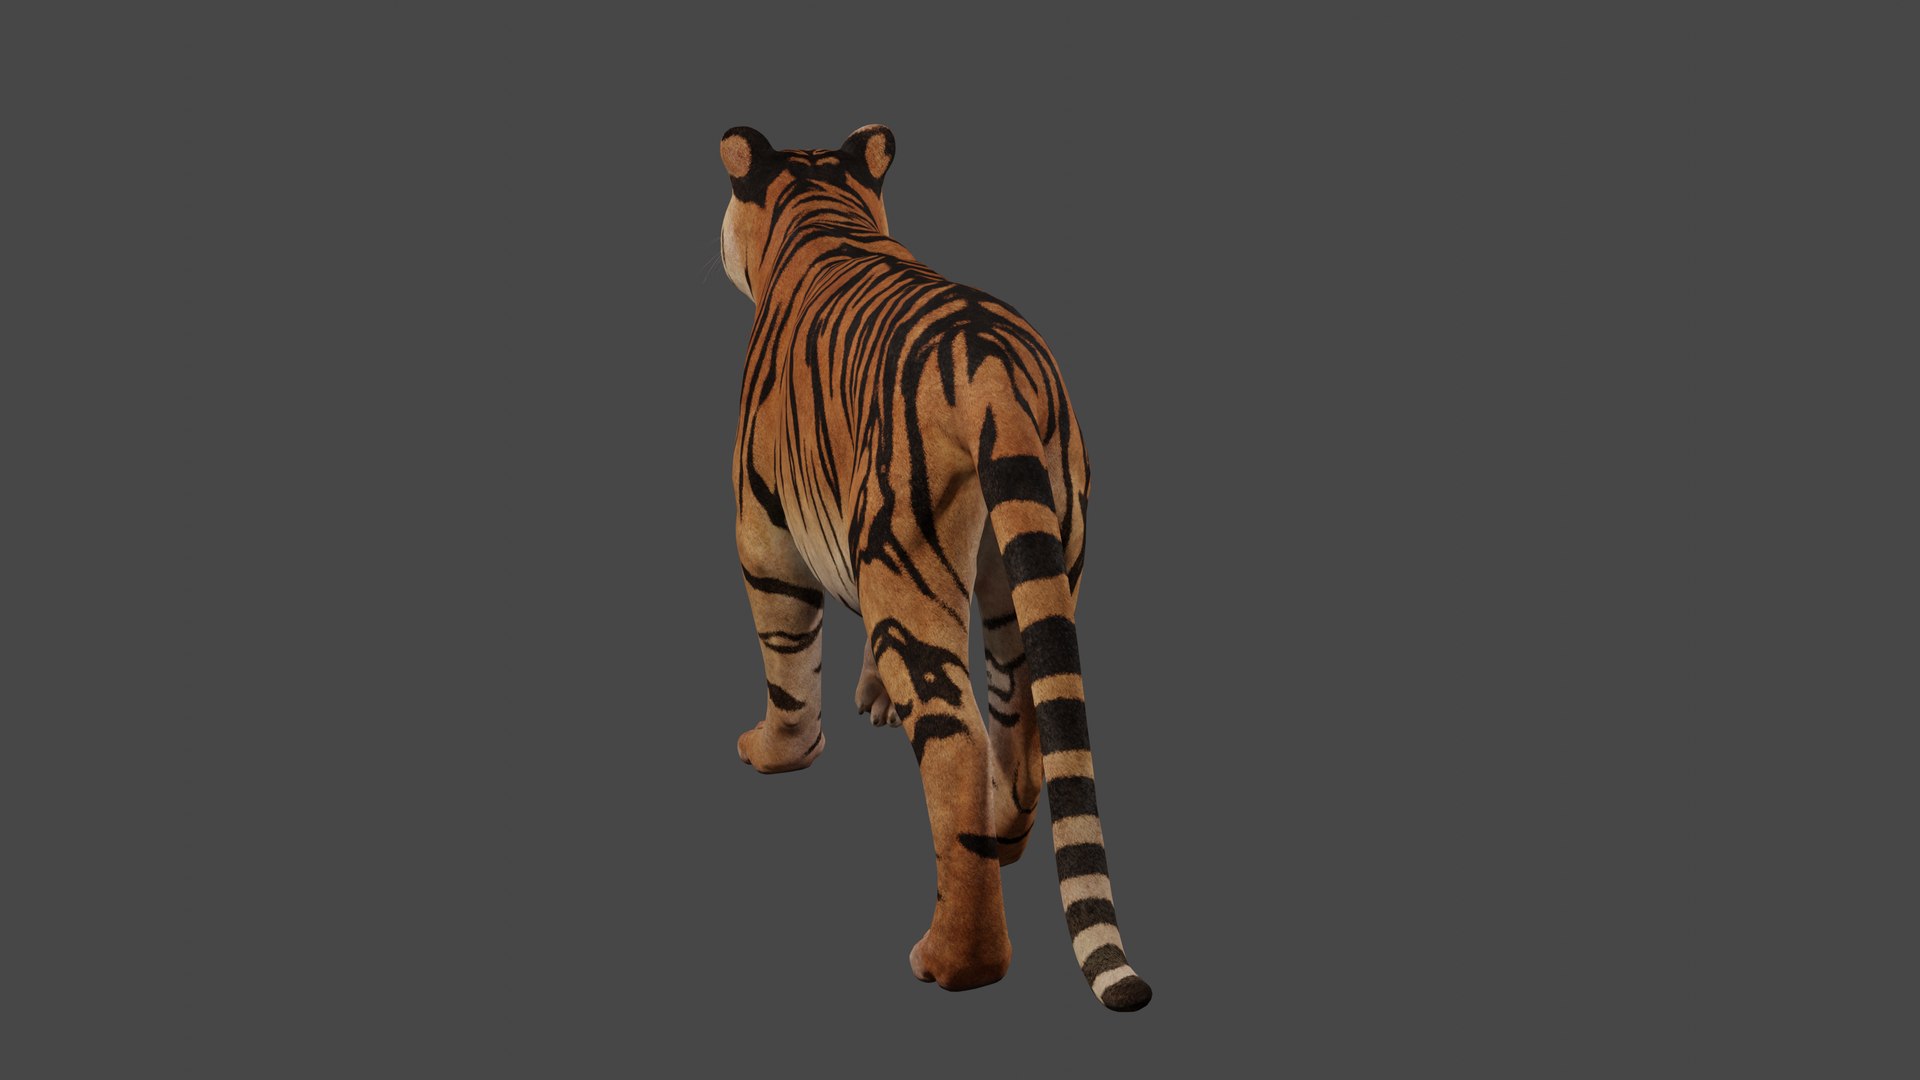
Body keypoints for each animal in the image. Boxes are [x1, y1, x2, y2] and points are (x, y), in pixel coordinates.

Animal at [717, 124, 1152, 1011]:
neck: (825, 214)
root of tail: (994, 372)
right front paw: (872, 699)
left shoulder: (764, 526)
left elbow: (787, 661)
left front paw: (777, 750)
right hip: (1027, 571)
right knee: (1022, 728)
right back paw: (1001, 839)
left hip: (910, 559)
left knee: (959, 745)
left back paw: (956, 960)